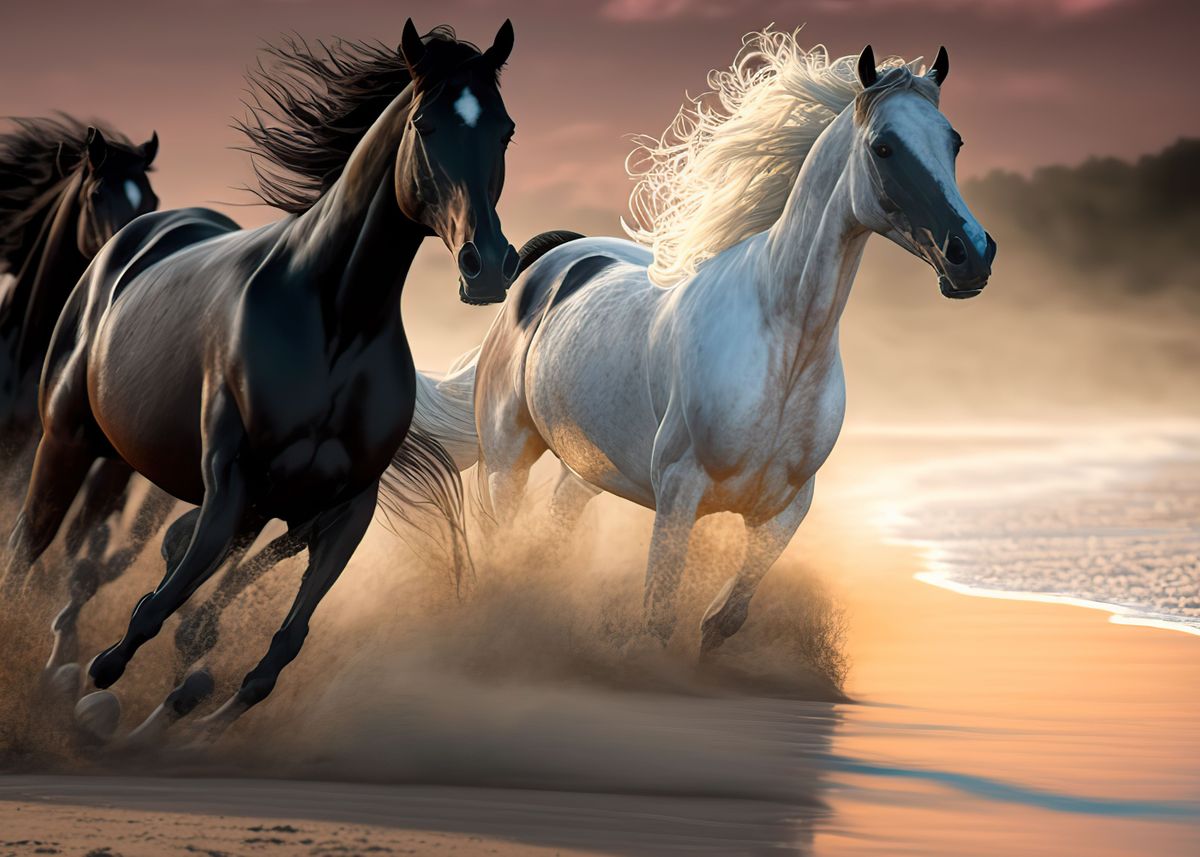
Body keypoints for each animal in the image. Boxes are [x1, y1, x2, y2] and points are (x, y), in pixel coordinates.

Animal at [2, 18, 520, 743]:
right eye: (425, 123)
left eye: (504, 130)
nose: (489, 265)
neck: (338, 323)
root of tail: (125, 245)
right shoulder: (232, 476)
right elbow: (156, 609)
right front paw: (100, 685)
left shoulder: (342, 508)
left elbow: (268, 649)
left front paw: (186, 718)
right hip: (69, 441)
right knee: (31, 550)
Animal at [415, 32, 996, 653]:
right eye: (884, 148)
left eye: (953, 141)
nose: (972, 255)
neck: (784, 349)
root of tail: (548, 263)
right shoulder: (677, 494)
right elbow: (658, 616)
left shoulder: (785, 510)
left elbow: (723, 620)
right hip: (506, 462)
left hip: (586, 471)